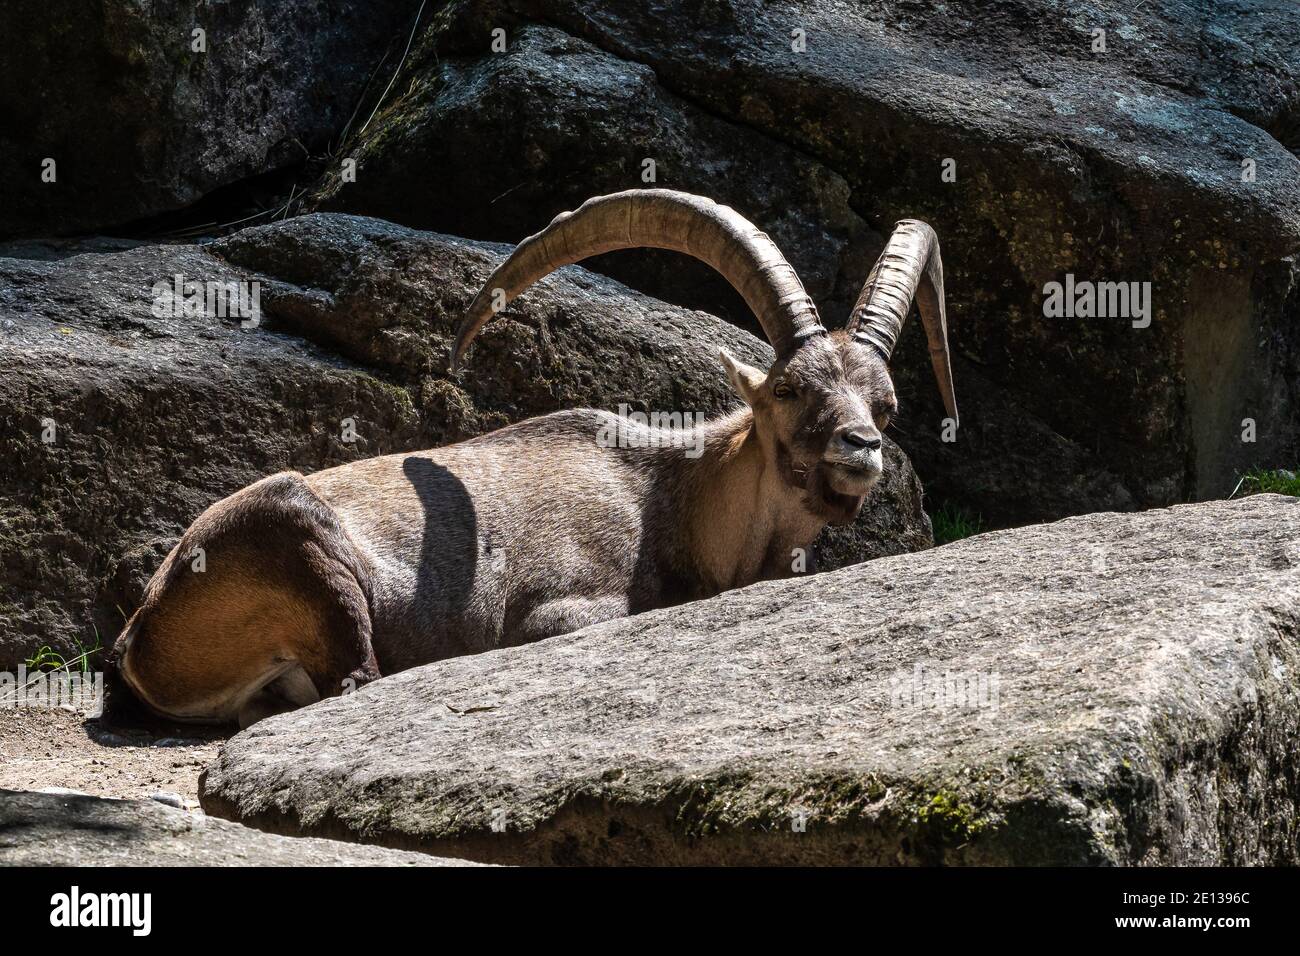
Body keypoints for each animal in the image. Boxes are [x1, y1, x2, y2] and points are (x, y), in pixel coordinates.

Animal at [112, 189, 958, 726]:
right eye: (787, 389)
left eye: (884, 405)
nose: (860, 450)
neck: (672, 494)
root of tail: (139, 633)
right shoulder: (554, 607)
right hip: (302, 536)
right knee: (355, 677)